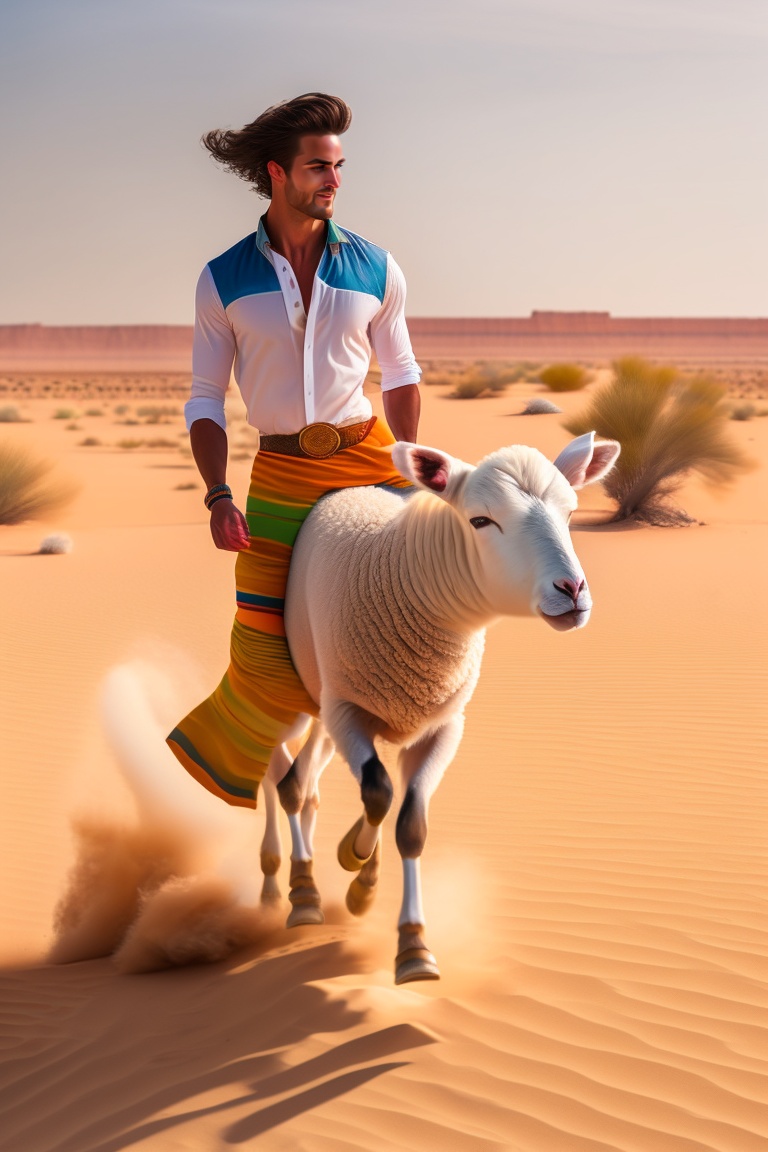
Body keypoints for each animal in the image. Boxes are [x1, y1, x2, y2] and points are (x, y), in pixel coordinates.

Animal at [259, 431, 620, 984]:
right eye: (481, 520)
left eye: (571, 512)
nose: (573, 591)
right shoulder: (347, 712)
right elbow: (379, 793)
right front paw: (356, 860)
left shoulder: (443, 726)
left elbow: (409, 823)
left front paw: (405, 936)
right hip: (295, 702)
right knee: (278, 780)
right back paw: (292, 892)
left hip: (325, 712)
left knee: (302, 783)